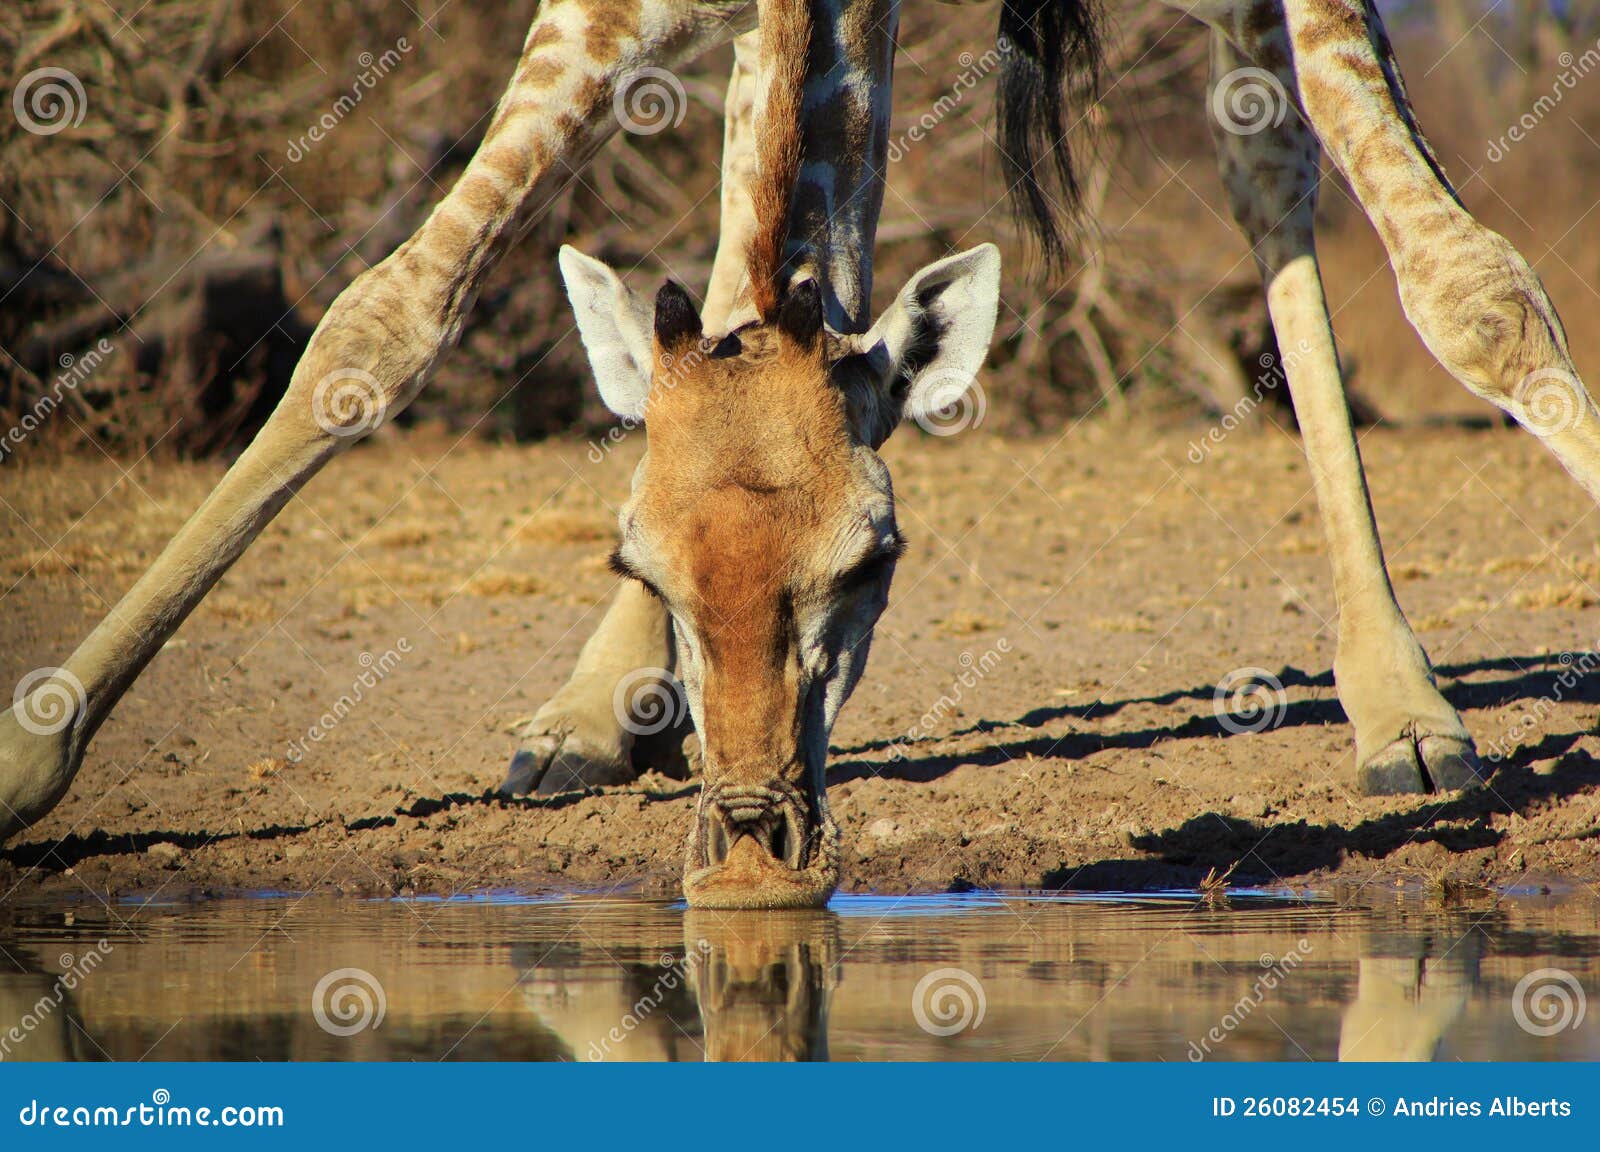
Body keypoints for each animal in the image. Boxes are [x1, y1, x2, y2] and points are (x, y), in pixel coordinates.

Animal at [4, 0, 1598, 910]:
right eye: (630, 556)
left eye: (876, 561)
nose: (753, 865)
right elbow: (383, 315)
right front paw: (34, 754)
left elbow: (1474, 285)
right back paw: (585, 711)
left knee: (1274, 160)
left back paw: (1401, 703)